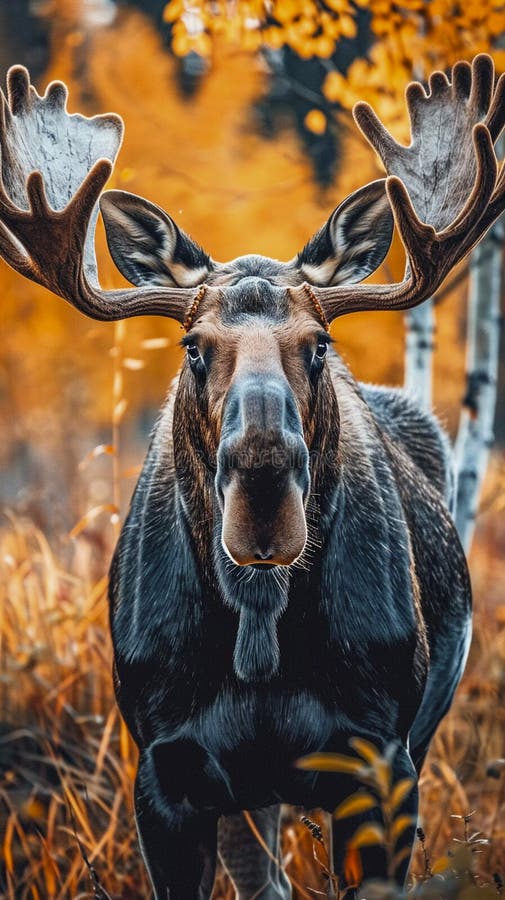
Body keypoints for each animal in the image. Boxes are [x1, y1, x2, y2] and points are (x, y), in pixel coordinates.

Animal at [1, 55, 504, 899]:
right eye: (193, 347)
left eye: (318, 344)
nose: (263, 498)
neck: (259, 635)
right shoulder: (164, 770)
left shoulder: (381, 760)